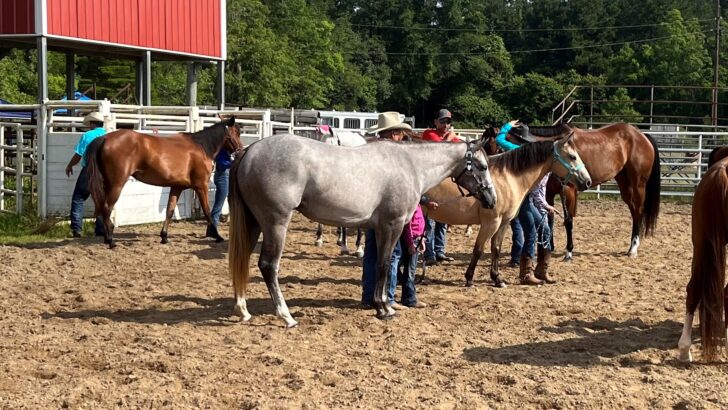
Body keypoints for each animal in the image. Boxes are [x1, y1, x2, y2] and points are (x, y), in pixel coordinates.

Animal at [86, 117, 242, 249]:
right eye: (237, 132)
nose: (240, 150)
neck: (201, 147)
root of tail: (105, 138)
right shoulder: (201, 186)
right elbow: (207, 211)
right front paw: (216, 235)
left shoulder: (177, 187)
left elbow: (169, 210)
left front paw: (164, 236)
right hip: (117, 184)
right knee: (107, 207)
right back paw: (111, 241)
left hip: (108, 184)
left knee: (103, 208)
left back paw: (107, 237)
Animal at [227, 134, 497, 326]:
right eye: (483, 166)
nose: (491, 199)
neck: (410, 165)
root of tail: (249, 151)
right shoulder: (392, 225)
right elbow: (384, 264)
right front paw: (384, 308)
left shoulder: (377, 228)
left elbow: (377, 263)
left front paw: (380, 304)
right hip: (276, 223)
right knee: (268, 265)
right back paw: (286, 316)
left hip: (254, 223)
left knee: (242, 260)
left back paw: (243, 310)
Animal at [424, 136, 592, 287]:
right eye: (572, 156)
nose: (588, 181)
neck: (507, 179)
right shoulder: (491, 223)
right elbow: (479, 249)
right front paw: (469, 278)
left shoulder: (503, 222)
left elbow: (496, 249)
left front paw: (497, 278)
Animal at [484, 122, 661, 259]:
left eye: (487, 145)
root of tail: (641, 135)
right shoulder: (549, 193)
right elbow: (550, 218)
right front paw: (550, 246)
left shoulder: (567, 191)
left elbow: (568, 220)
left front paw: (568, 251)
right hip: (624, 184)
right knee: (633, 211)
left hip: (638, 185)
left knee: (638, 211)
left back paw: (633, 248)